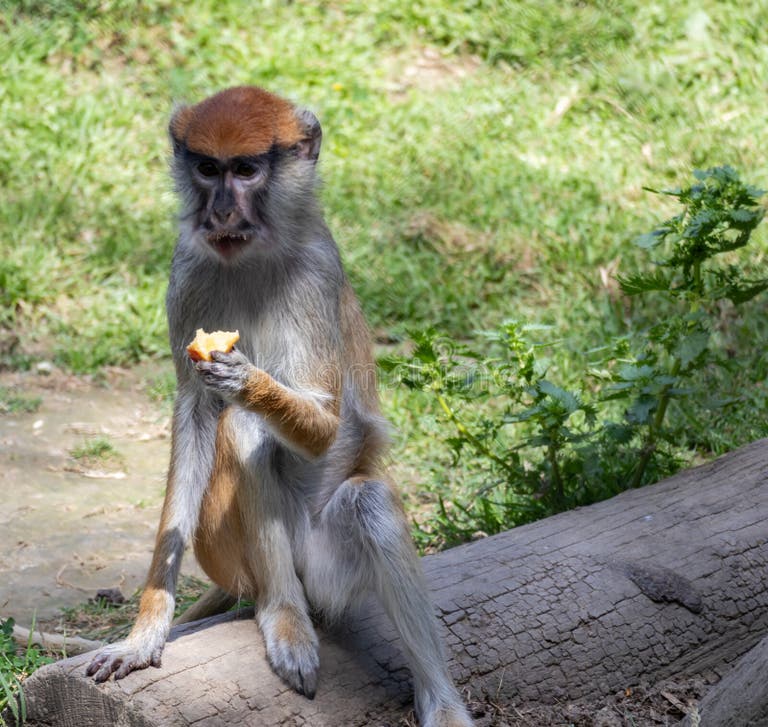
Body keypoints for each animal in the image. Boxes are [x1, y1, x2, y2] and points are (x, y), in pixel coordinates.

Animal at [84, 87, 472, 727]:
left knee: (365, 501)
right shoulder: (186, 271)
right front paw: (145, 630)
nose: (219, 213)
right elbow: (195, 414)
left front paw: (247, 380)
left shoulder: (316, 272)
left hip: (330, 572)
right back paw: (284, 616)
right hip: (228, 551)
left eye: (245, 170)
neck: (251, 257)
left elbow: (323, 423)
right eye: (207, 168)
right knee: (244, 439)